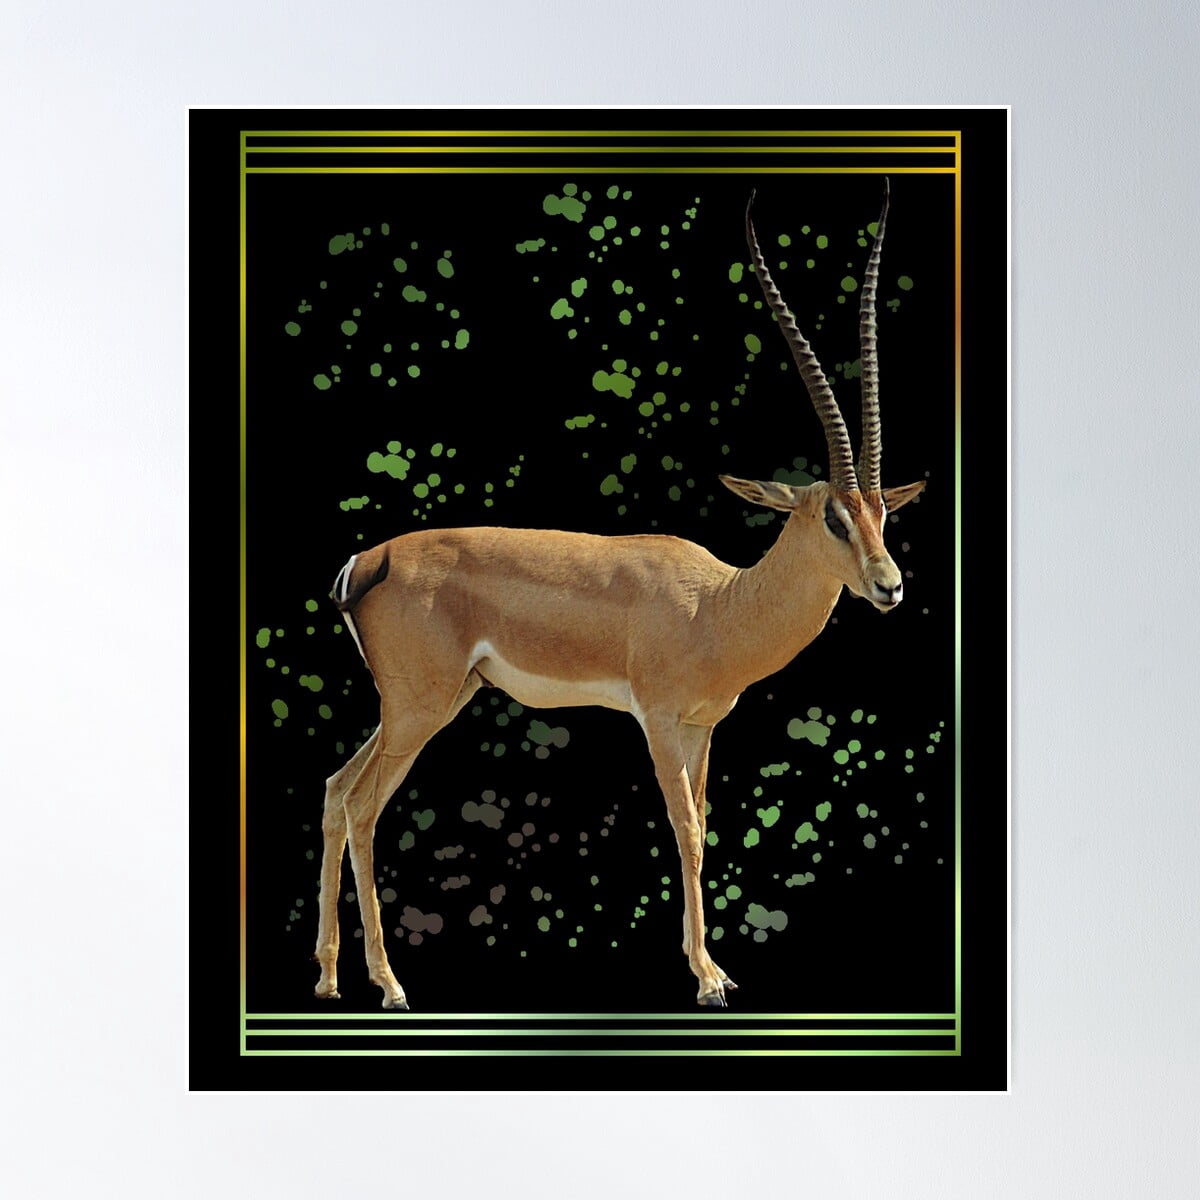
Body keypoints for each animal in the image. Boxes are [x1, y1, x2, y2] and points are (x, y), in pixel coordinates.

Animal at [313, 182, 925, 1009]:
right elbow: (685, 830)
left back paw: (327, 979)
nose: (889, 587)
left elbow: (704, 828)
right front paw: (707, 980)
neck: (721, 605)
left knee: (334, 789)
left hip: (427, 703)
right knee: (362, 805)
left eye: (882, 512)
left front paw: (717, 967)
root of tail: (364, 561)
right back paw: (390, 986)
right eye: (833, 514)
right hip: (418, 710)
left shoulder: (703, 728)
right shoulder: (658, 722)